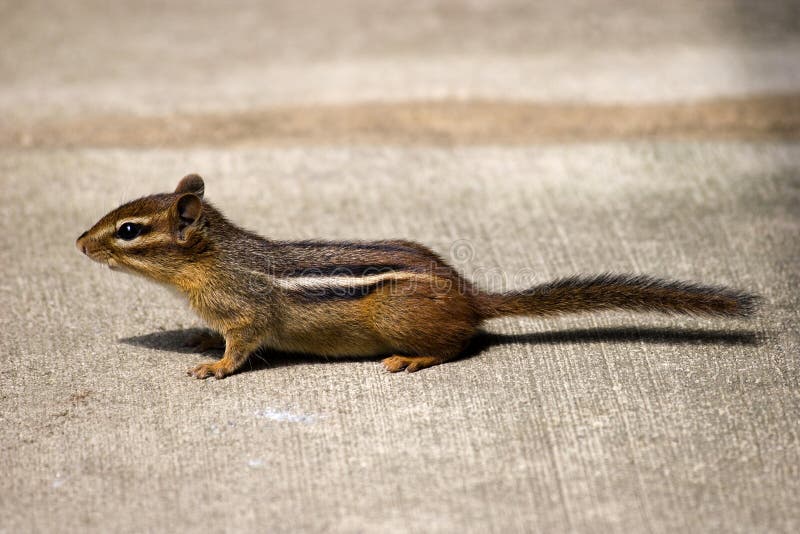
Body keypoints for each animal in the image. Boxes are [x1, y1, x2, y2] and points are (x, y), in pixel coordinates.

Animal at [76, 175, 758, 379]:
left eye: (128, 230)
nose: (79, 243)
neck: (212, 259)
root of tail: (472, 295)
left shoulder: (247, 311)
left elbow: (242, 344)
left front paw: (215, 367)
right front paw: (198, 339)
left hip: (399, 316)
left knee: (458, 345)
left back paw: (413, 359)